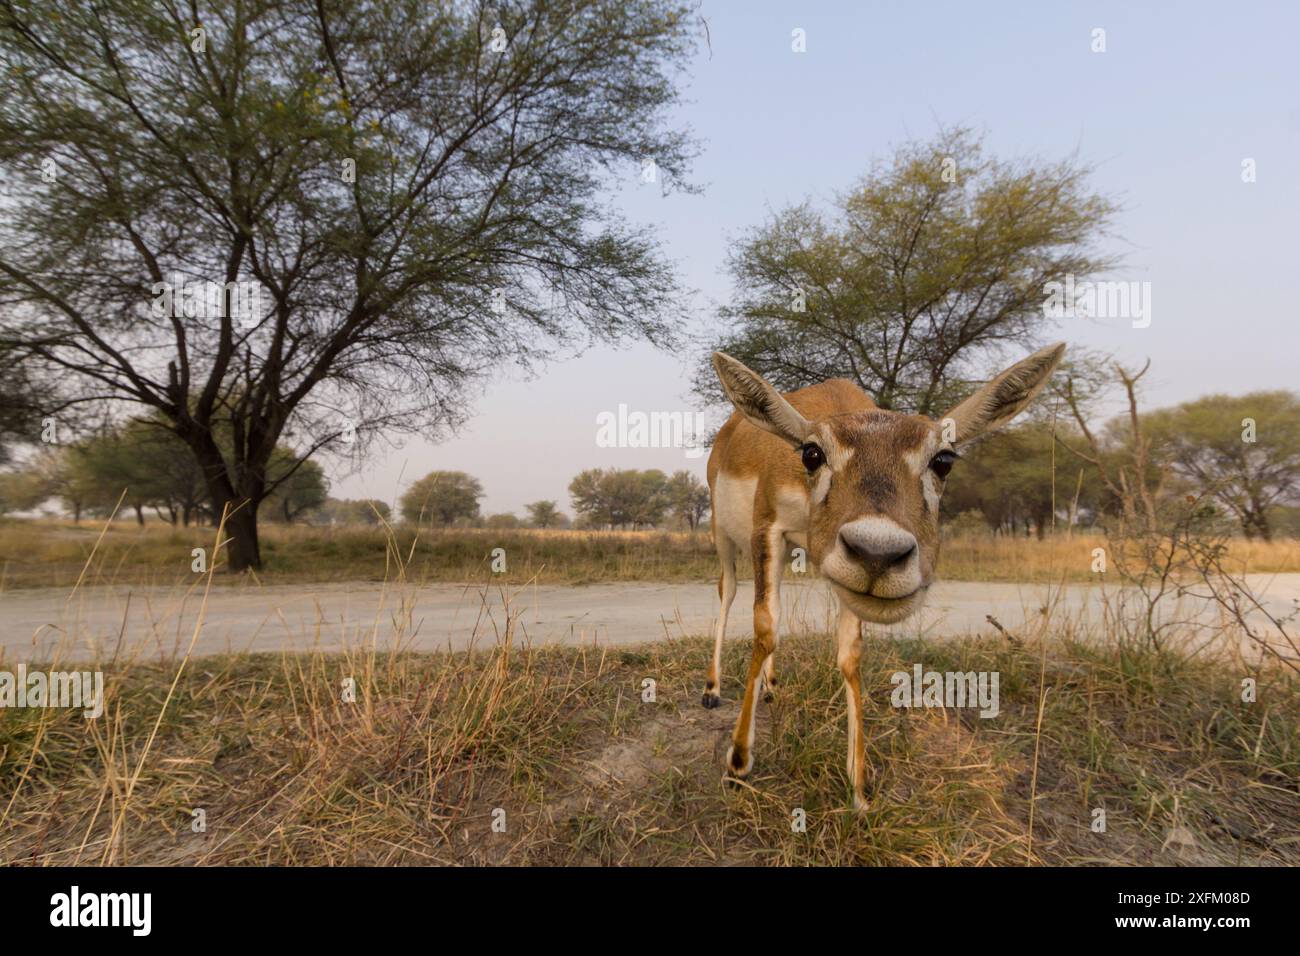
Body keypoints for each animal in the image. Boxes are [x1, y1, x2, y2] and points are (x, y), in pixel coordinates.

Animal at [703, 343, 1065, 808]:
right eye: (811, 453)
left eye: (943, 460)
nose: (879, 553)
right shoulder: (766, 527)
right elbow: (765, 628)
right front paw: (737, 764)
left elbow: (850, 653)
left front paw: (859, 788)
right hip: (725, 537)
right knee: (728, 593)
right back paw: (712, 690)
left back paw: (771, 685)